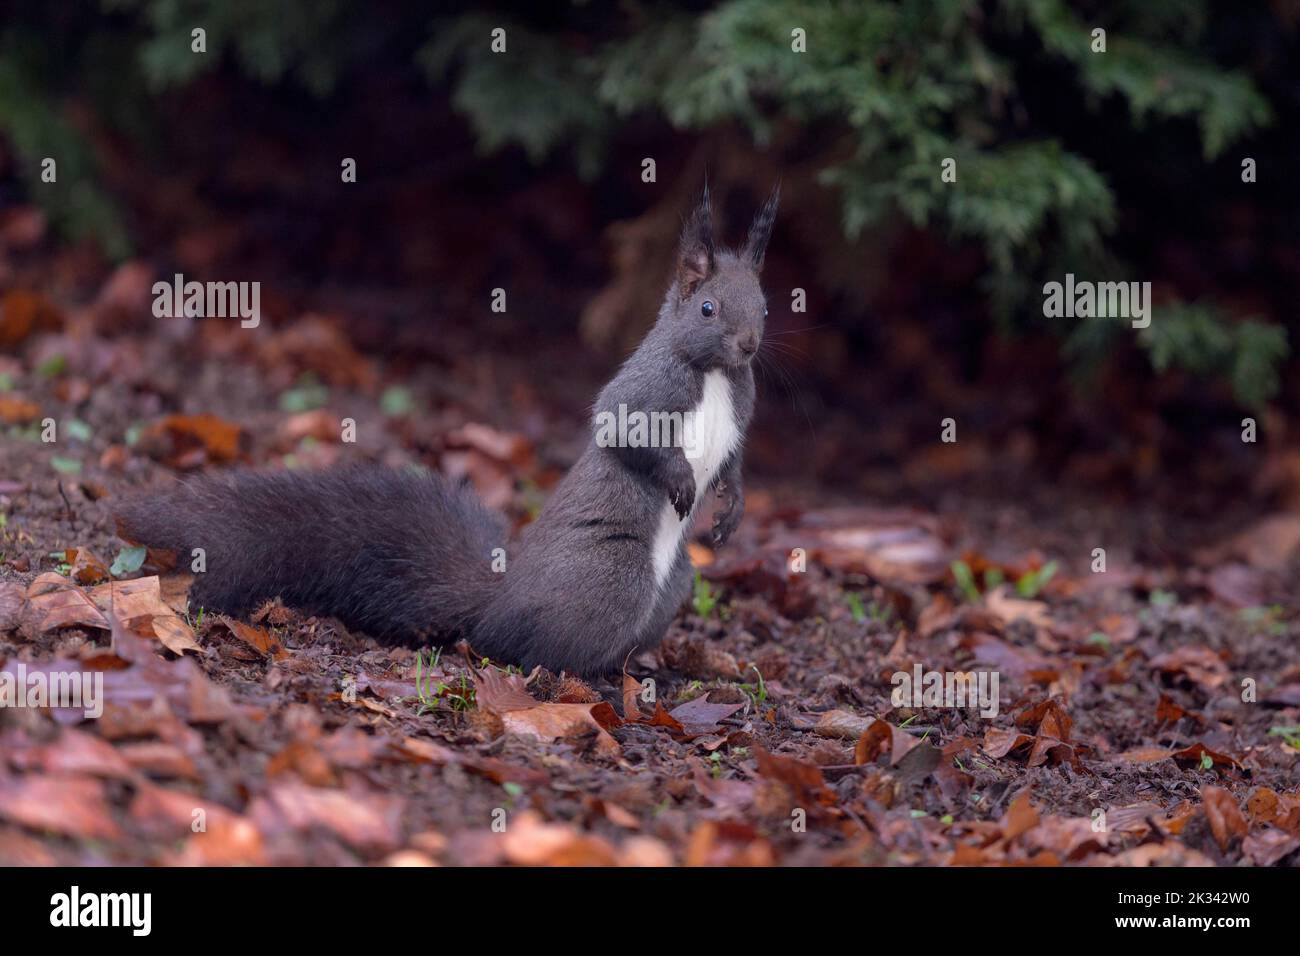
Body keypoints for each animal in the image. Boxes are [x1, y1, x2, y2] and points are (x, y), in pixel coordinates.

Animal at [115, 185, 779, 677]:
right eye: (708, 309)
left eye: (767, 305)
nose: (750, 345)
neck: (714, 373)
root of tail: (499, 601)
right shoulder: (645, 389)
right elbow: (623, 429)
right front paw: (681, 479)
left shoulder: (742, 414)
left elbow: (735, 463)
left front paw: (732, 509)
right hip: (610, 576)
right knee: (523, 648)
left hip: (673, 585)